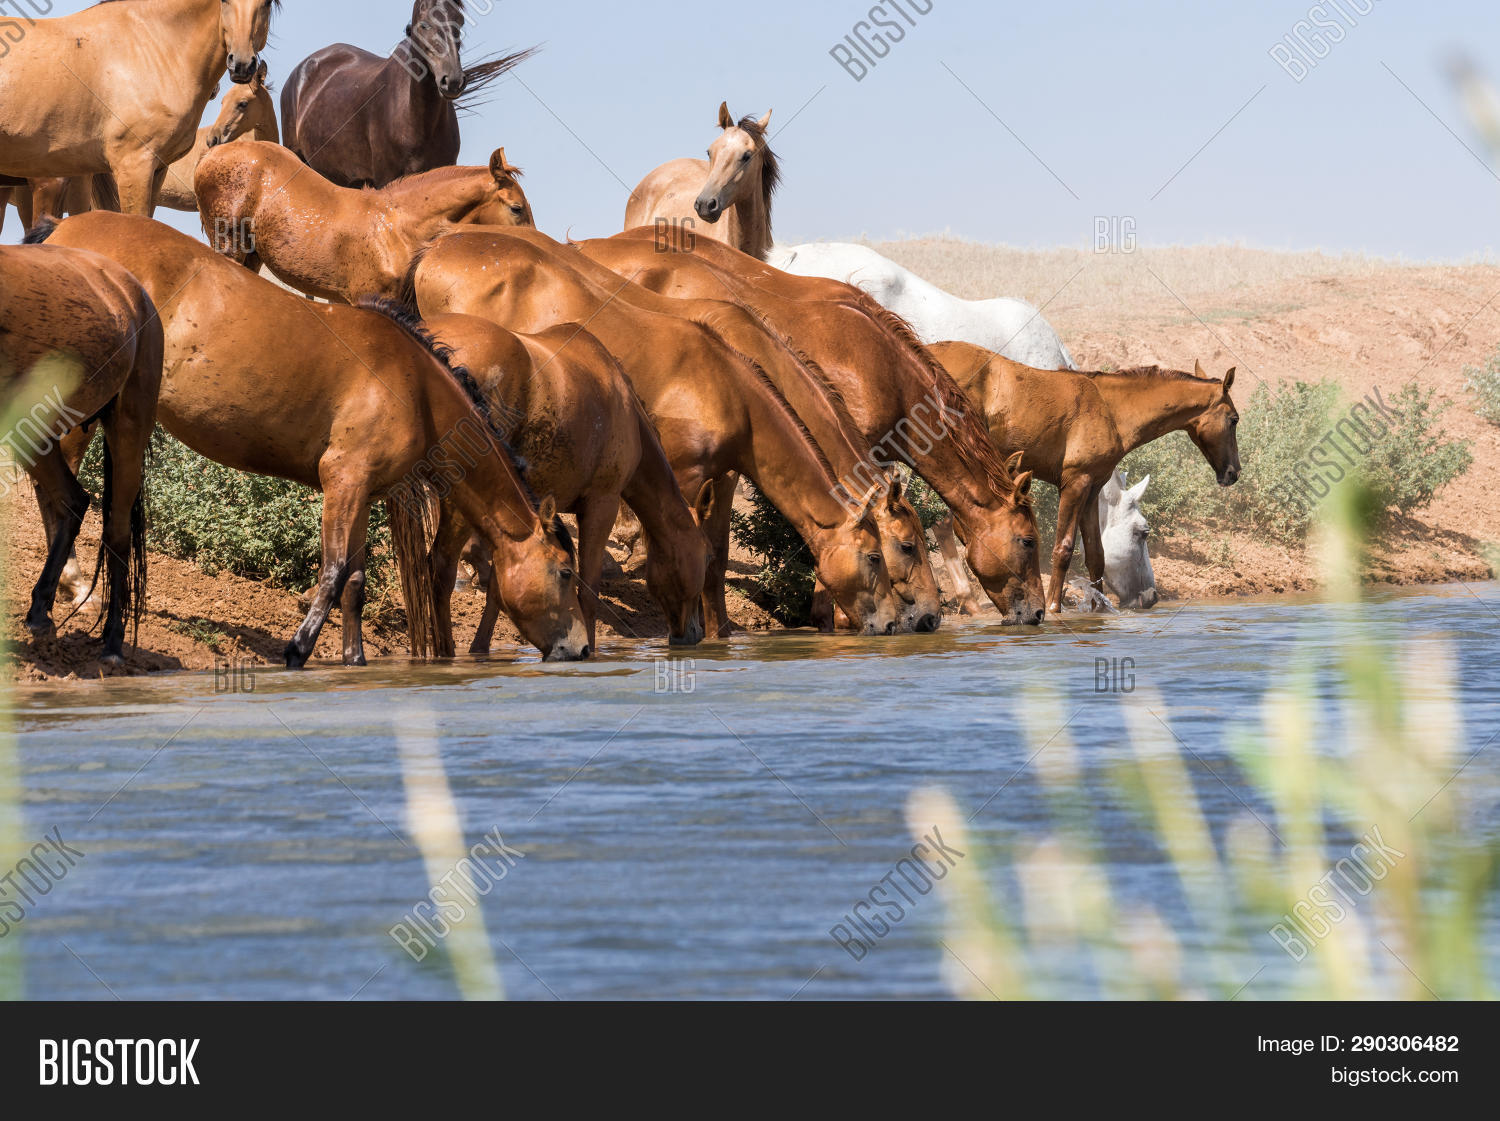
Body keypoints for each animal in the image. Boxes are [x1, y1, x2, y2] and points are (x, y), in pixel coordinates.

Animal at [0, 242, 162, 666]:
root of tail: (135, 293)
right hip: (33, 433)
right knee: (73, 500)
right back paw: (40, 612)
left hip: (128, 432)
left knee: (117, 531)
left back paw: (113, 644)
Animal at [33, 212, 590, 666]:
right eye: (565, 572)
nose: (582, 648)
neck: (415, 382)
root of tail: (63, 230)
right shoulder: (343, 480)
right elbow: (334, 569)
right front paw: (298, 649)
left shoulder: (364, 493)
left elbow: (355, 584)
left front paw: (353, 660)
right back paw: (62, 593)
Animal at [418, 313, 712, 654]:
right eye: (707, 557)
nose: (696, 633)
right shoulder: (601, 504)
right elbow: (589, 592)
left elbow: (502, 588)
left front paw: (480, 649)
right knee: (442, 568)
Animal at [929, 340, 1240, 614]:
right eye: (1234, 419)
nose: (1233, 472)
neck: (1109, 409)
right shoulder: (1074, 484)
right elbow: (1063, 548)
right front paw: (1053, 608)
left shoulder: (1092, 488)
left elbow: (1095, 554)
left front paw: (1097, 608)